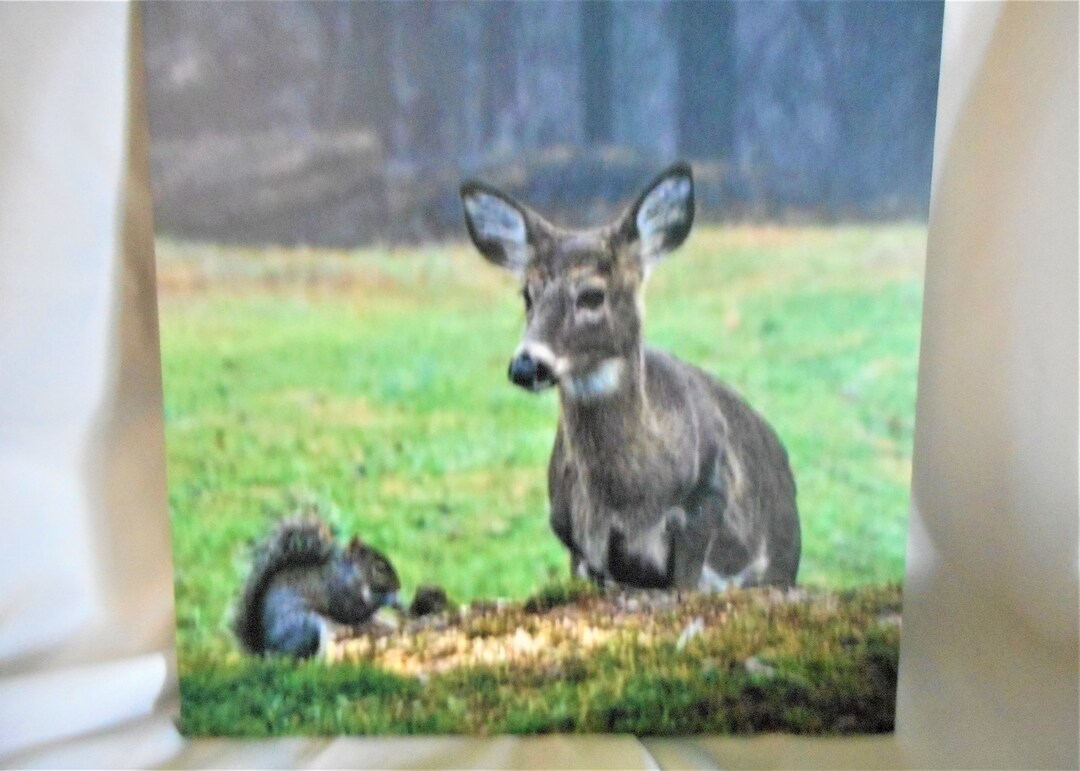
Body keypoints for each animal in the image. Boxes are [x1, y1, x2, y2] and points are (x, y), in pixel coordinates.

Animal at [460, 162, 800, 591]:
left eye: (592, 295)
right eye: (527, 295)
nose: (526, 365)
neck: (628, 504)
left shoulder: (706, 500)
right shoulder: (574, 539)